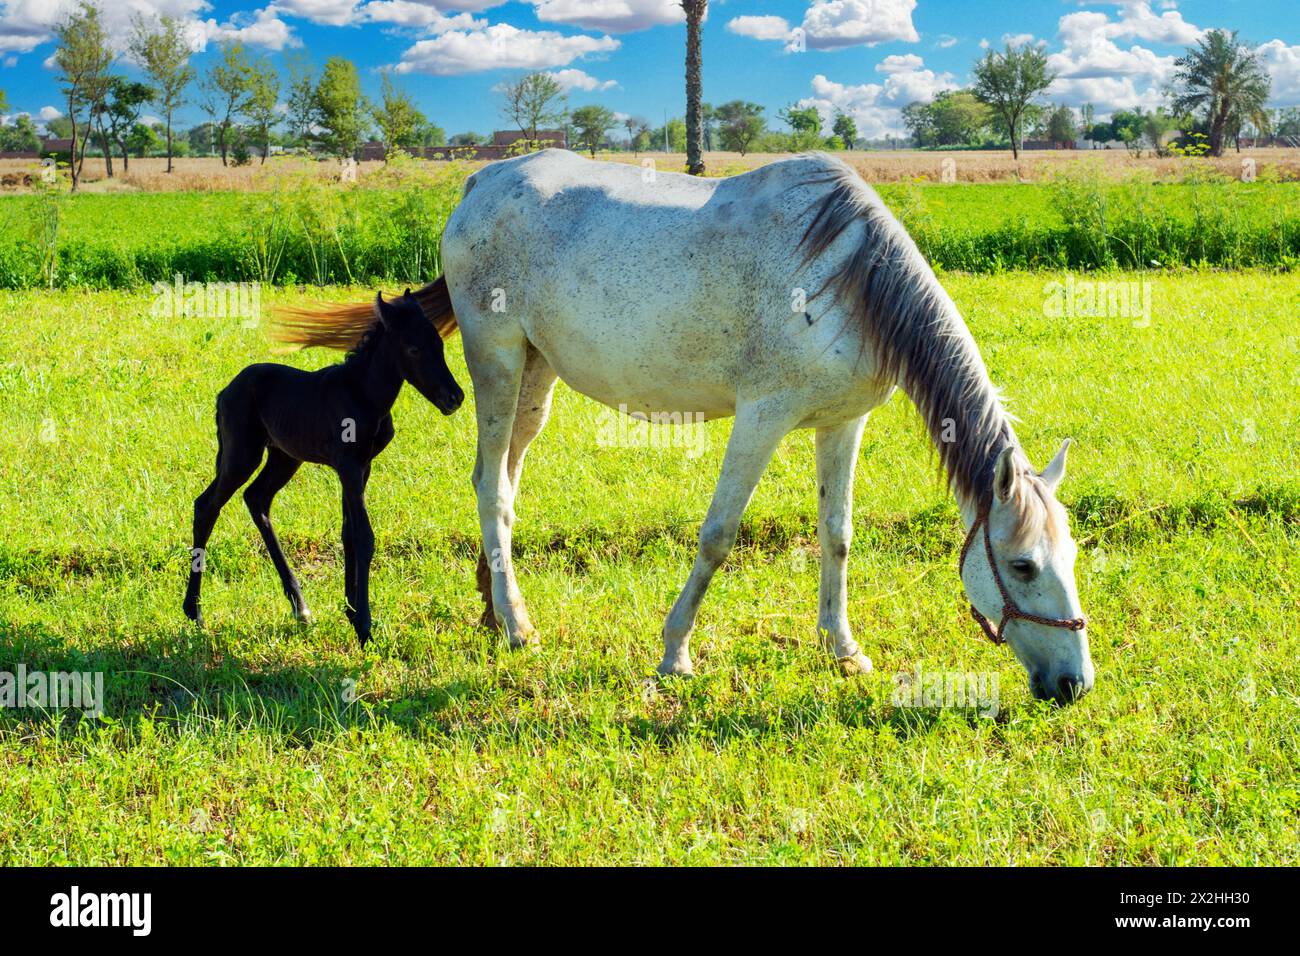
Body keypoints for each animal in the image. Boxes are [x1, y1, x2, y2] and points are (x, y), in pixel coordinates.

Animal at [183, 289, 465, 647]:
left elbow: (348, 532)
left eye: (439, 344)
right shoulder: (348, 466)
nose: (454, 397)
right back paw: (195, 611)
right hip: (242, 454)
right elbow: (363, 535)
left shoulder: (362, 468)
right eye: (413, 349)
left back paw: (299, 606)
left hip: (284, 457)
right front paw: (365, 627)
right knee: (207, 505)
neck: (363, 394)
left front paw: (351, 611)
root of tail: (224, 392)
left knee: (256, 499)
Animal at [305, 150, 1094, 704]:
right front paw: (674, 654)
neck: (849, 275)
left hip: (536, 376)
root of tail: (481, 183)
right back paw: (519, 627)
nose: (1074, 685)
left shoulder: (841, 424)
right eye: (1023, 566)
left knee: (505, 478)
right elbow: (718, 536)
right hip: (495, 361)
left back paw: (496, 610)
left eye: (1072, 556)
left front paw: (843, 650)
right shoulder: (763, 417)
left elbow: (836, 537)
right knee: (489, 486)